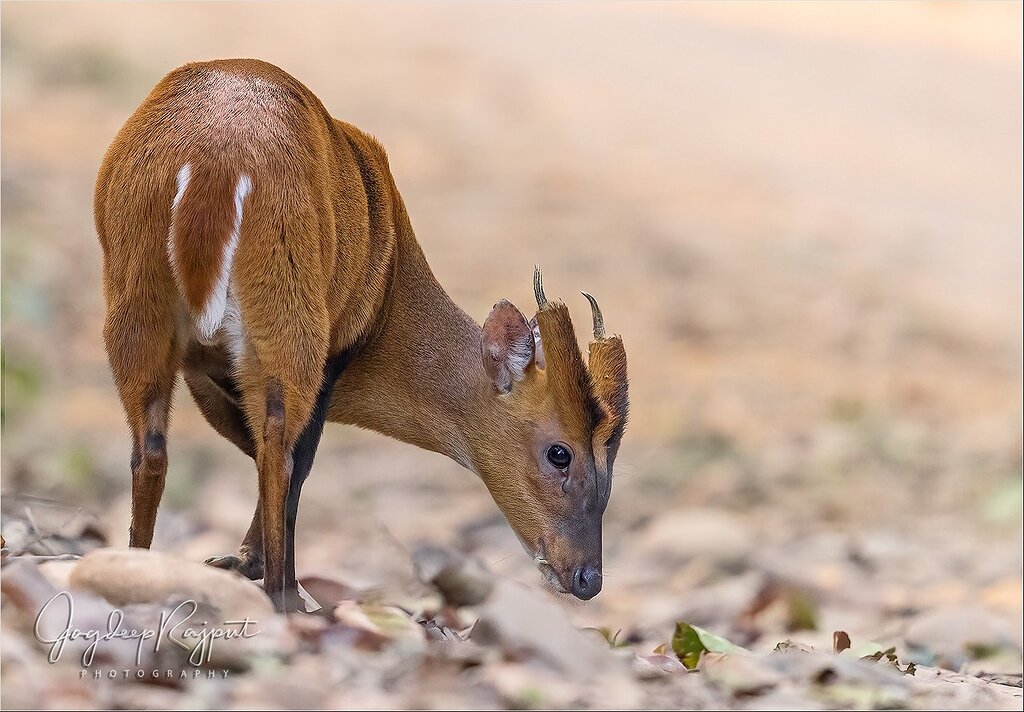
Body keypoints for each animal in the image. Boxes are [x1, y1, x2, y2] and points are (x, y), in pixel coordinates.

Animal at [94, 59, 628, 612]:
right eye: (560, 452)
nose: (588, 579)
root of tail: (211, 166)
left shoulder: (206, 368)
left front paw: (238, 560)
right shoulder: (331, 357)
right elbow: (296, 464)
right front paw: (253, 567)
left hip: (136, 306)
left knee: (153, 448)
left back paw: (139, 565)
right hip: (290, 319)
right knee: (278, 450)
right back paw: (285, 595)